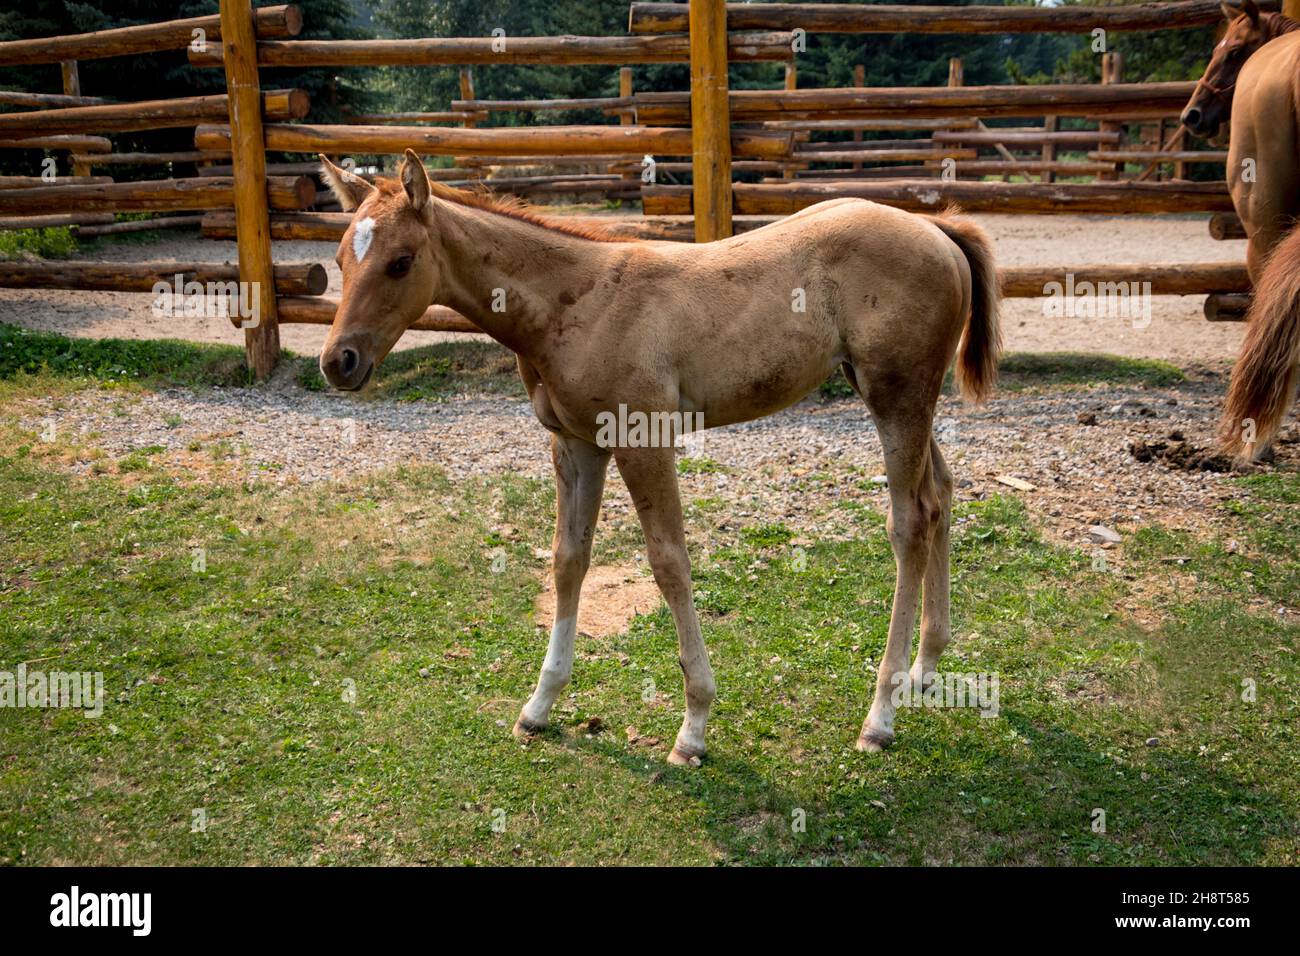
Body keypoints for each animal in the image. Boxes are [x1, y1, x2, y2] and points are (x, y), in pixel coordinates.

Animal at [316, 149, 1001, 763]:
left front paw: (693, 727)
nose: (337, 361)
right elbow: (568, 561)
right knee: (940, 496)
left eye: (401, 262)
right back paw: (924, 671)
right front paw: (540, 706)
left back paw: (880, 715)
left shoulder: (643, 438)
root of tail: (936, 228)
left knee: (909, 523)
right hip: (894, 395)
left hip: (897, 395)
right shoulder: (575, 443)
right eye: (340, 258)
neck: (575, 302)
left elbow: (669, 562)